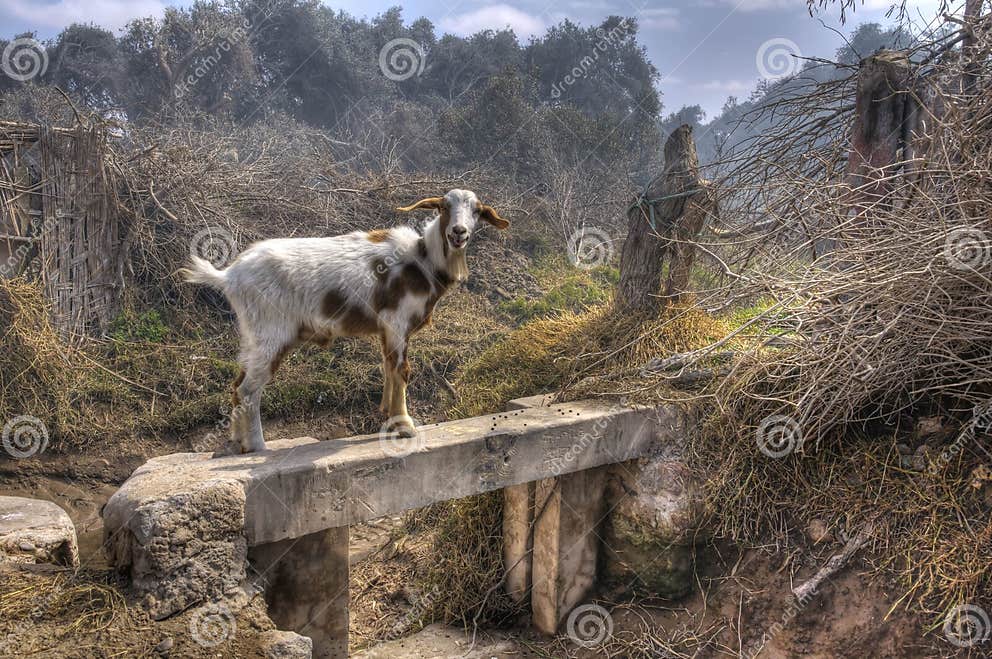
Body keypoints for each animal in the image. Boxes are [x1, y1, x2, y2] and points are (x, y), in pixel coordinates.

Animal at [181, 189, 509, 453]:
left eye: (477, 211)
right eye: (443, 206)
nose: (458, 232)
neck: (423, 262)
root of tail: (230, 276)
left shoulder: (385, 329)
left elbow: (388, 367)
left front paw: (388, 415)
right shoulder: (397, 321)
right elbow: (402, 370)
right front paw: (405, 425)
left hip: (252, 335)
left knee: (237, 385)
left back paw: (237, 442)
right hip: (272, 334)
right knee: (250, 390)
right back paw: (257, 445)